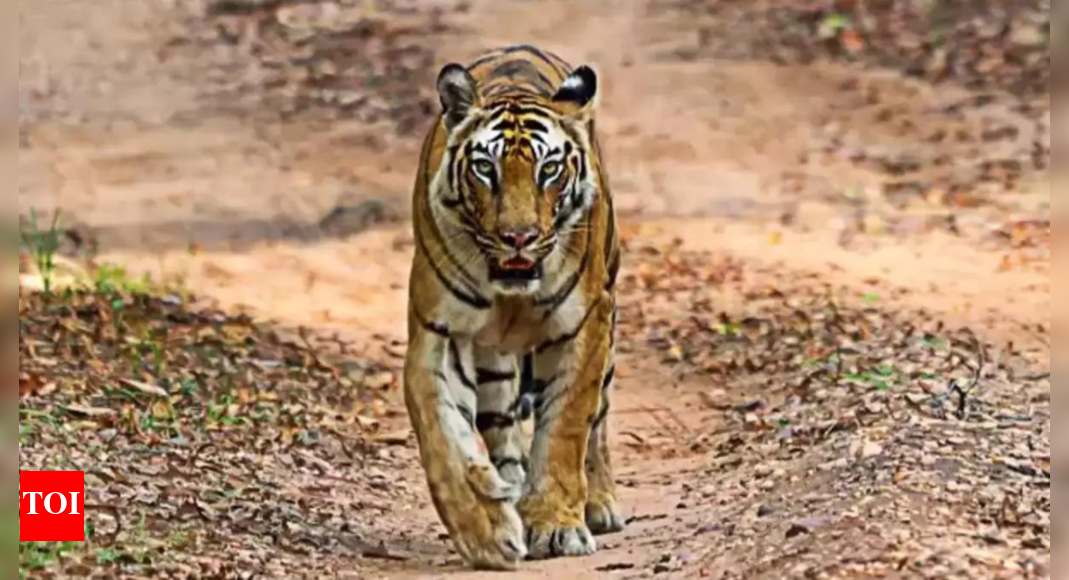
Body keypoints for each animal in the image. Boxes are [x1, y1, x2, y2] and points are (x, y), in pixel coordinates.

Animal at [403, 45, 623, 570]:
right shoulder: (439, 331)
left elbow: (566, 427)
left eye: (549, 170)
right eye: (486, 168)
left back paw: (599, 503)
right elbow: (442, 437)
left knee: (598, 423)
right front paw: (487, 532)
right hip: (495, 365)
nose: (517, 237)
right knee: (503, 433)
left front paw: (556, 525)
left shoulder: (586, 324)